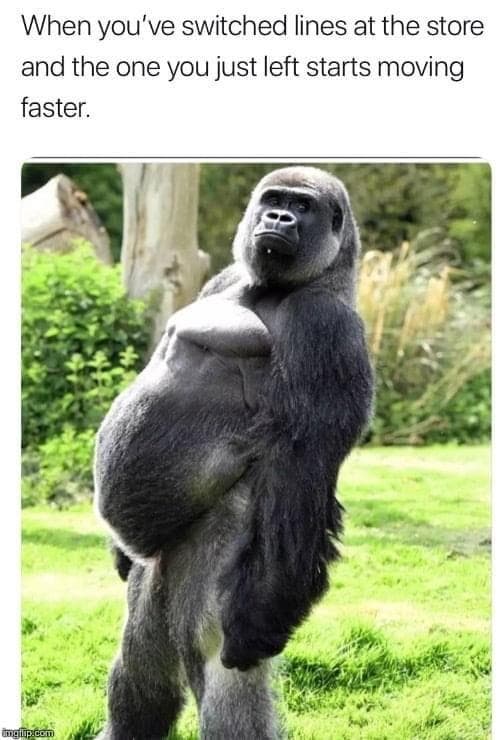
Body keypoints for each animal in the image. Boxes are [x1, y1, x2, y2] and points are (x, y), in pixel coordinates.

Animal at [94, 166, 374, 739]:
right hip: (158, 580)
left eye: (302, 207)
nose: (279, 219)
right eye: (273, 201)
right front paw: (116, 554)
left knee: (225, 688)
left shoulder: (325, 328)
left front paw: (257, 629)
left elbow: (301, 464)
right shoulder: (221, 279)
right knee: (140, 676)